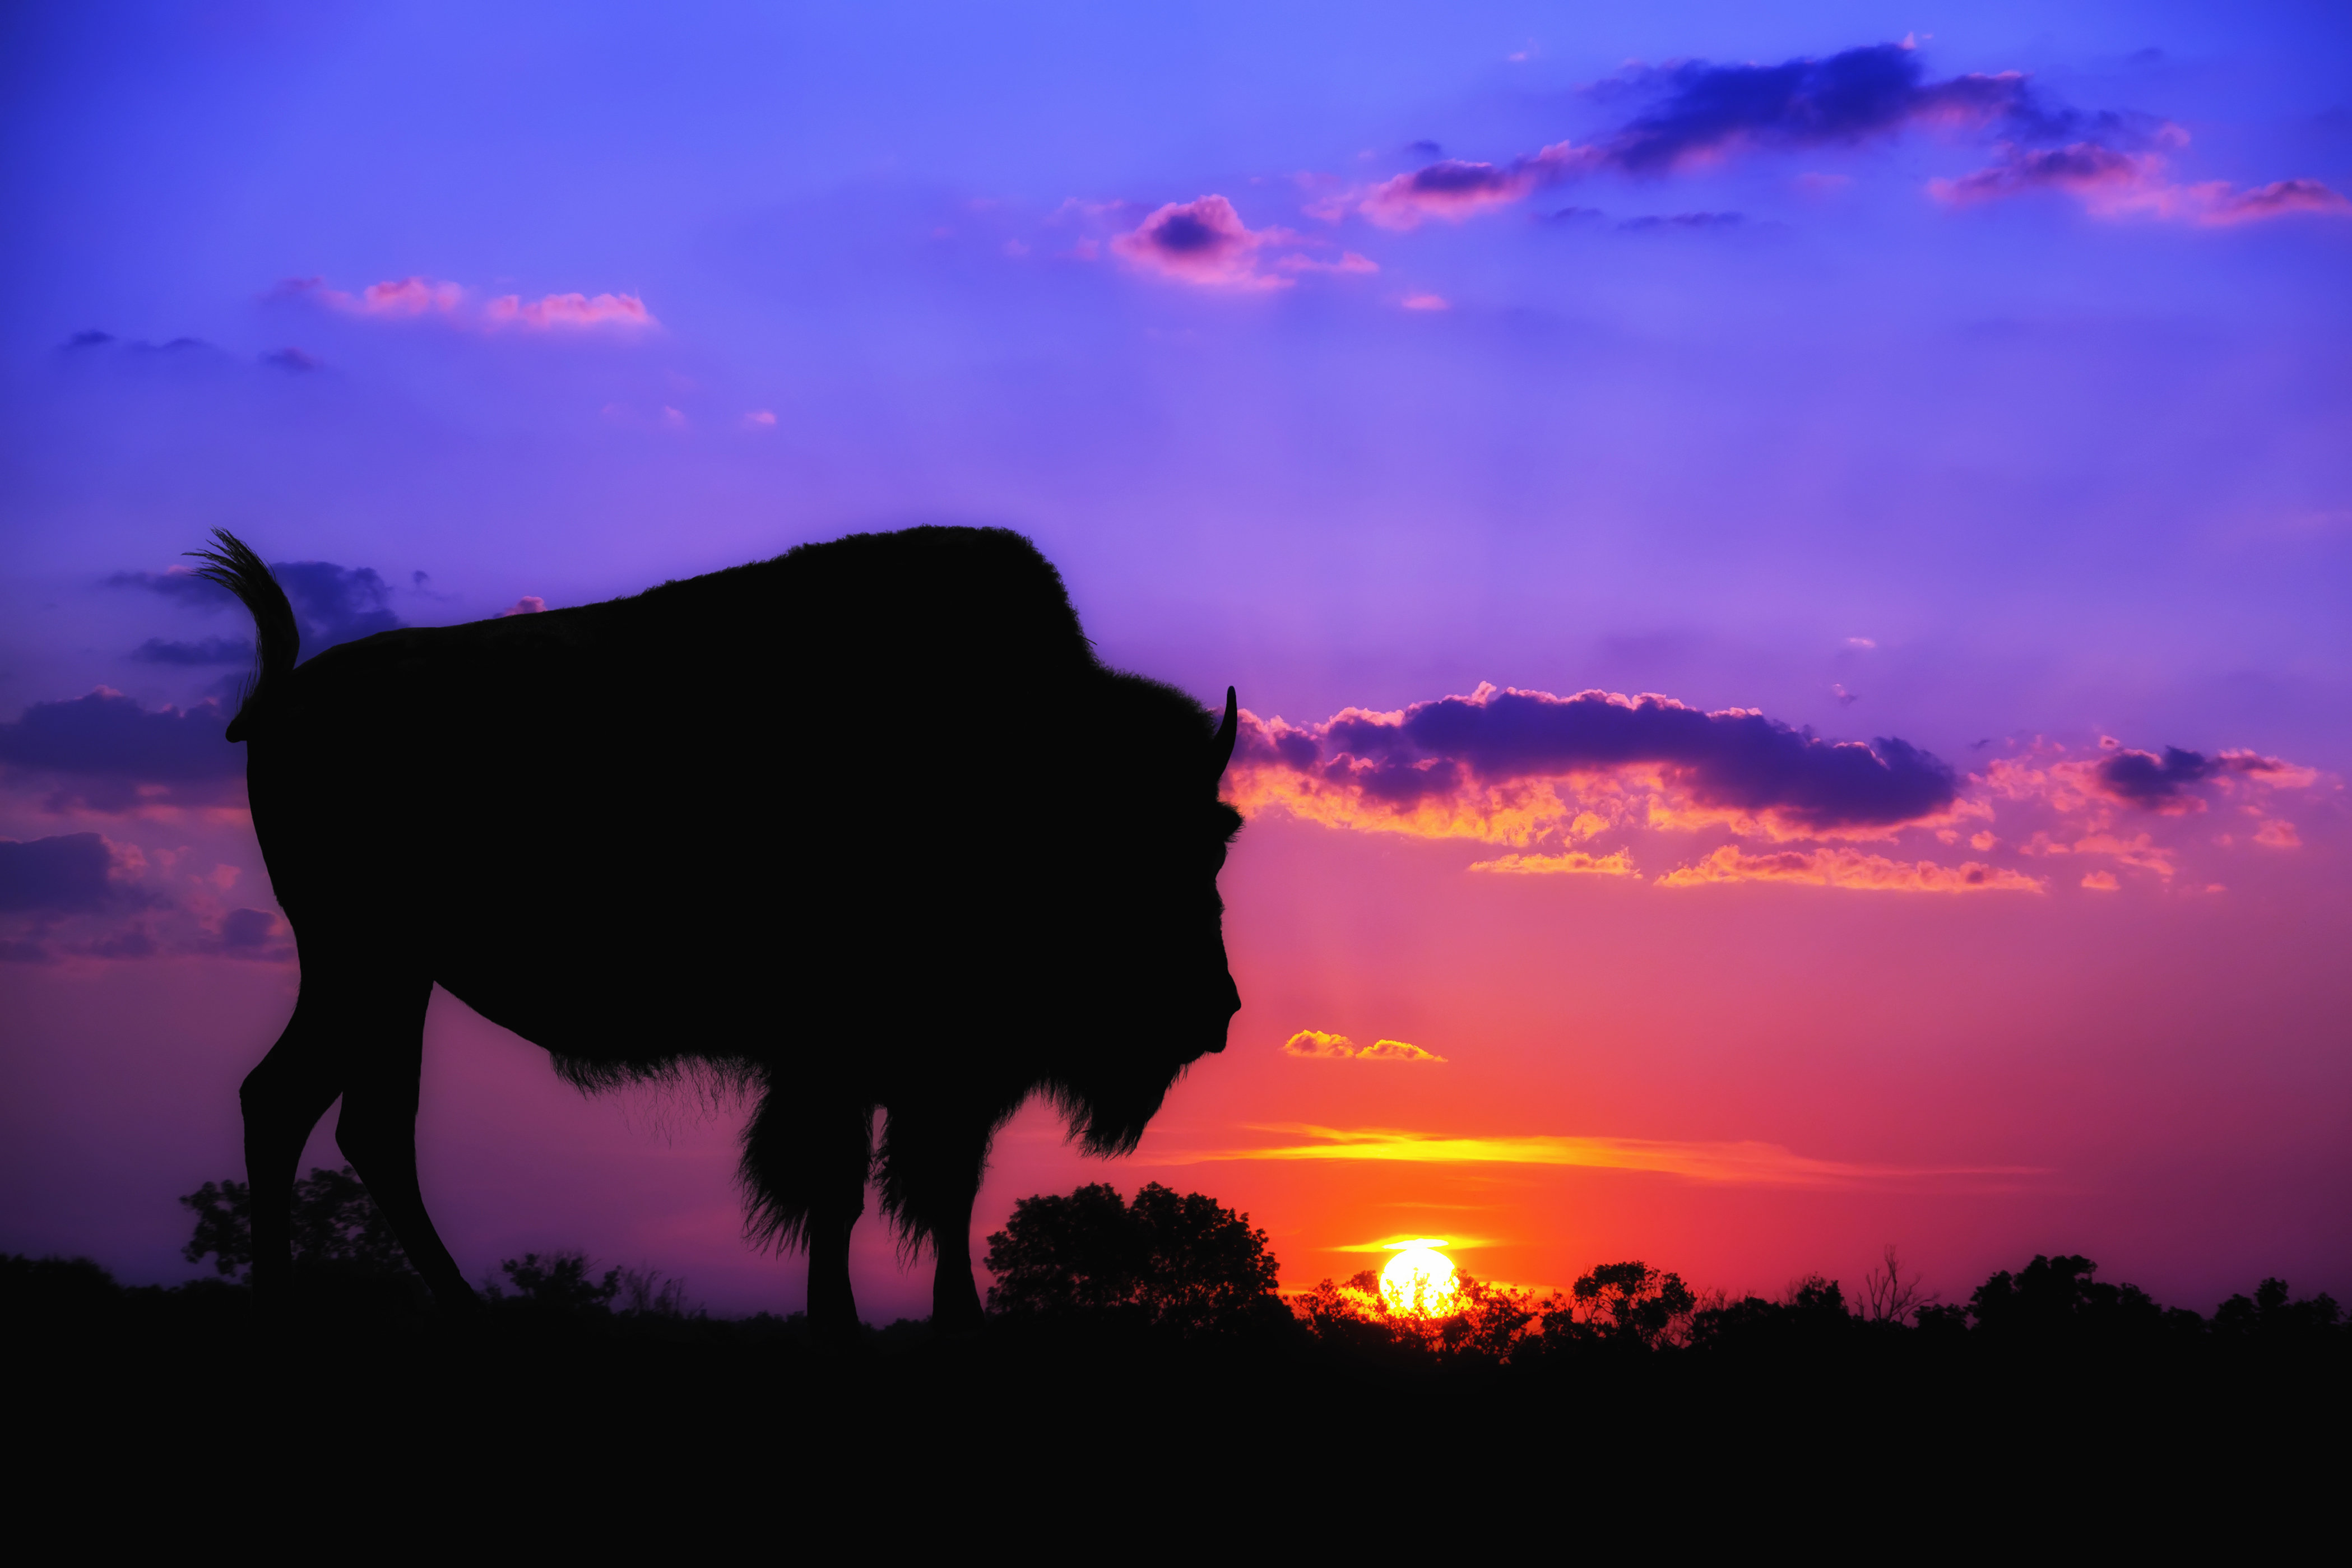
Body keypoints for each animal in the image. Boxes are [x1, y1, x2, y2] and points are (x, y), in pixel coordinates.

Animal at [191, 524, 1244, 1333]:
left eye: (1218, 835)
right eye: (1132, 846)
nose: (1218, 1009)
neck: (1028, 759)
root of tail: (288, 693)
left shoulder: (942, 1069)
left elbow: (944, 1195)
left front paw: (956, 1324)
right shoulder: (842, 1058)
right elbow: (839, 1191)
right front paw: (840, 1325)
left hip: (387, 973)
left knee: (347, 1115)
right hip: (359, 957)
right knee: (298, 1104)